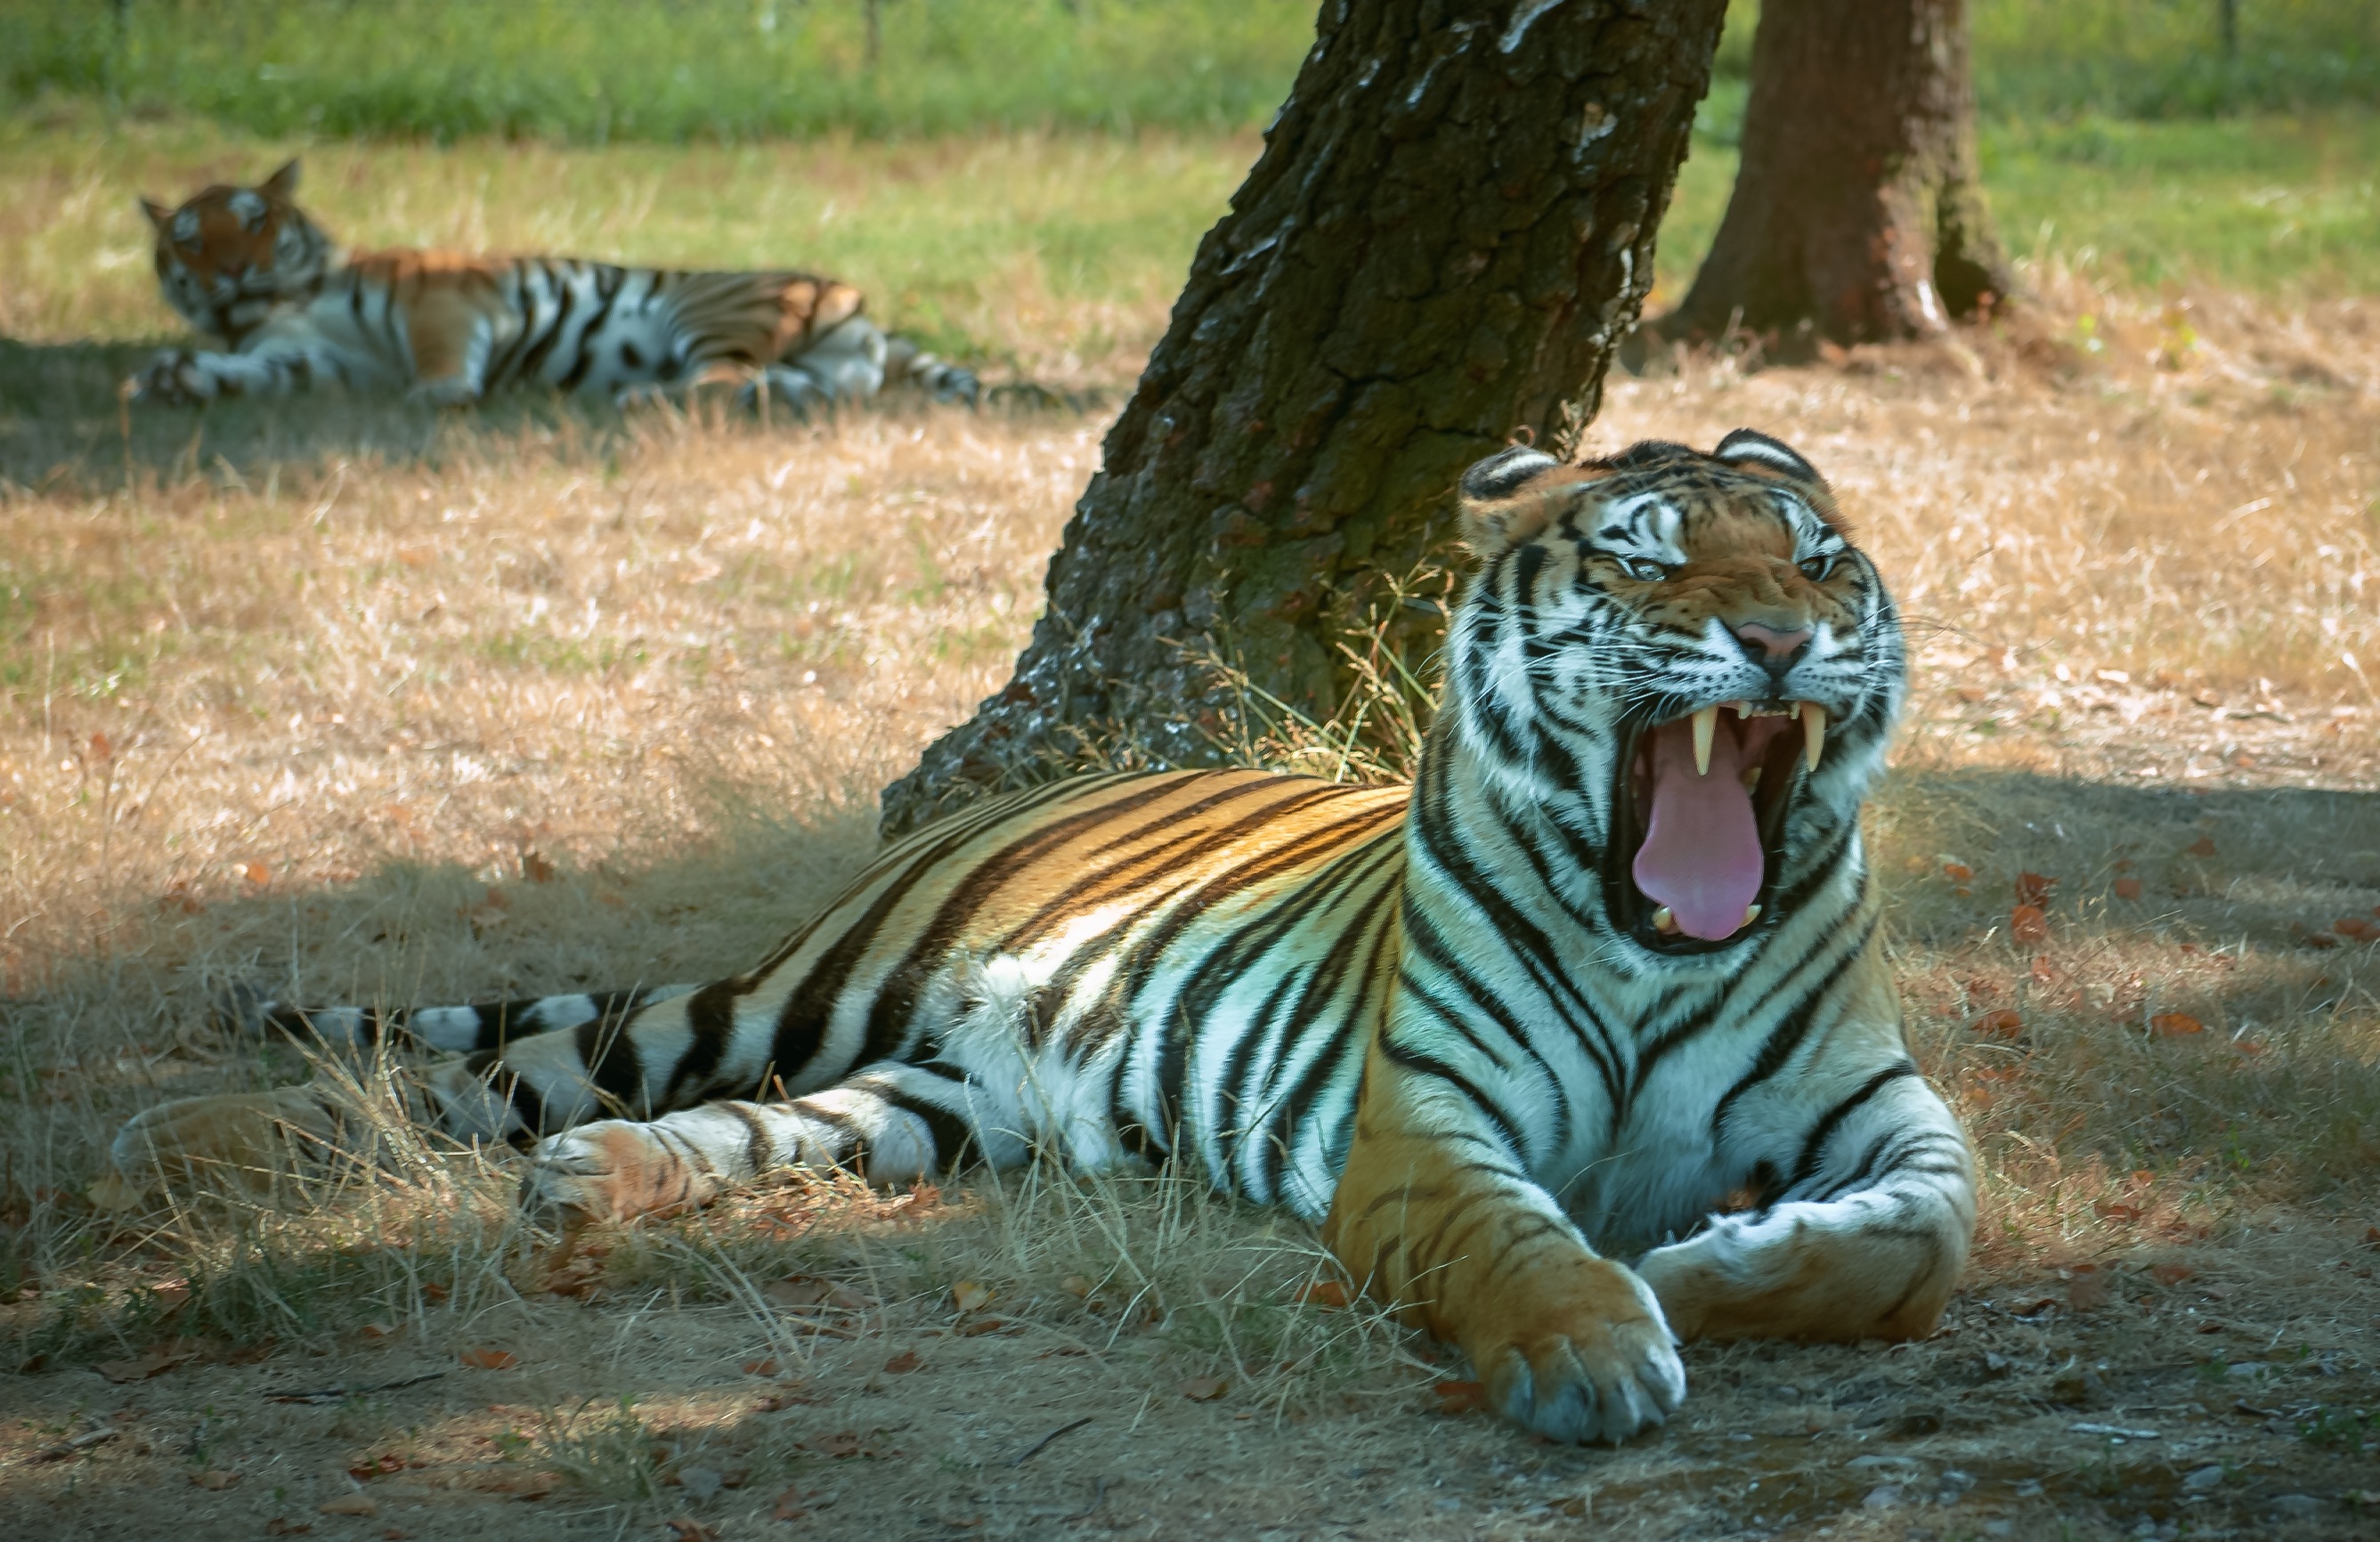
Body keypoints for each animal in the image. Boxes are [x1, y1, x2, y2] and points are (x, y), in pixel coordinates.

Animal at [111, 430, 1974, 1446]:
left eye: (1819, 560)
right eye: (1649, 565)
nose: (1779, 639)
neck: (1657, 933)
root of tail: (1062, 775)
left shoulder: (1882, 1109)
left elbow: (1917, 1240)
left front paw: (1723, 1267)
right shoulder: (1428, 1134)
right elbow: (1519, 1245)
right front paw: (1596, 1343)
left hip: (926, 1099)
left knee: (720, 1133)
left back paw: (592, 1188)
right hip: (783, 997)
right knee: (485, 1073)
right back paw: (186, 1144)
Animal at [130, 159, 978, 412]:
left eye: (255, 223)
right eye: (192, 240)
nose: (230, 272)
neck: (282, 304)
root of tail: (859, 305)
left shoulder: (442, 300)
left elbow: (439, 354)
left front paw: (438, 394)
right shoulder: (329, 362)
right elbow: (260, 372)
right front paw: (174, 377)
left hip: (703, 308)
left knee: (720, 377)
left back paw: (641, 397)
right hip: (823, 377)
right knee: (754, 387)